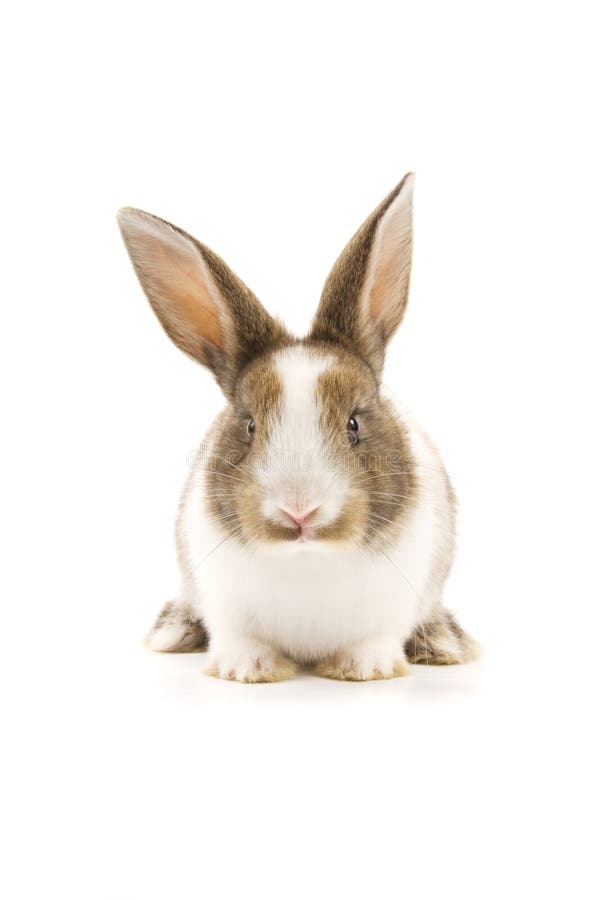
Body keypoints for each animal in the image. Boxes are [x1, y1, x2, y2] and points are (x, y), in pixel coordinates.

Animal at [117, 173, 479, 682]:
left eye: (354, 423)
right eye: (249, 425)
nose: (300, 512)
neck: (307, 560)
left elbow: (374, 639)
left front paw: (362, 667)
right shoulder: (223, 602)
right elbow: (238, 637)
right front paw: (246, 668)